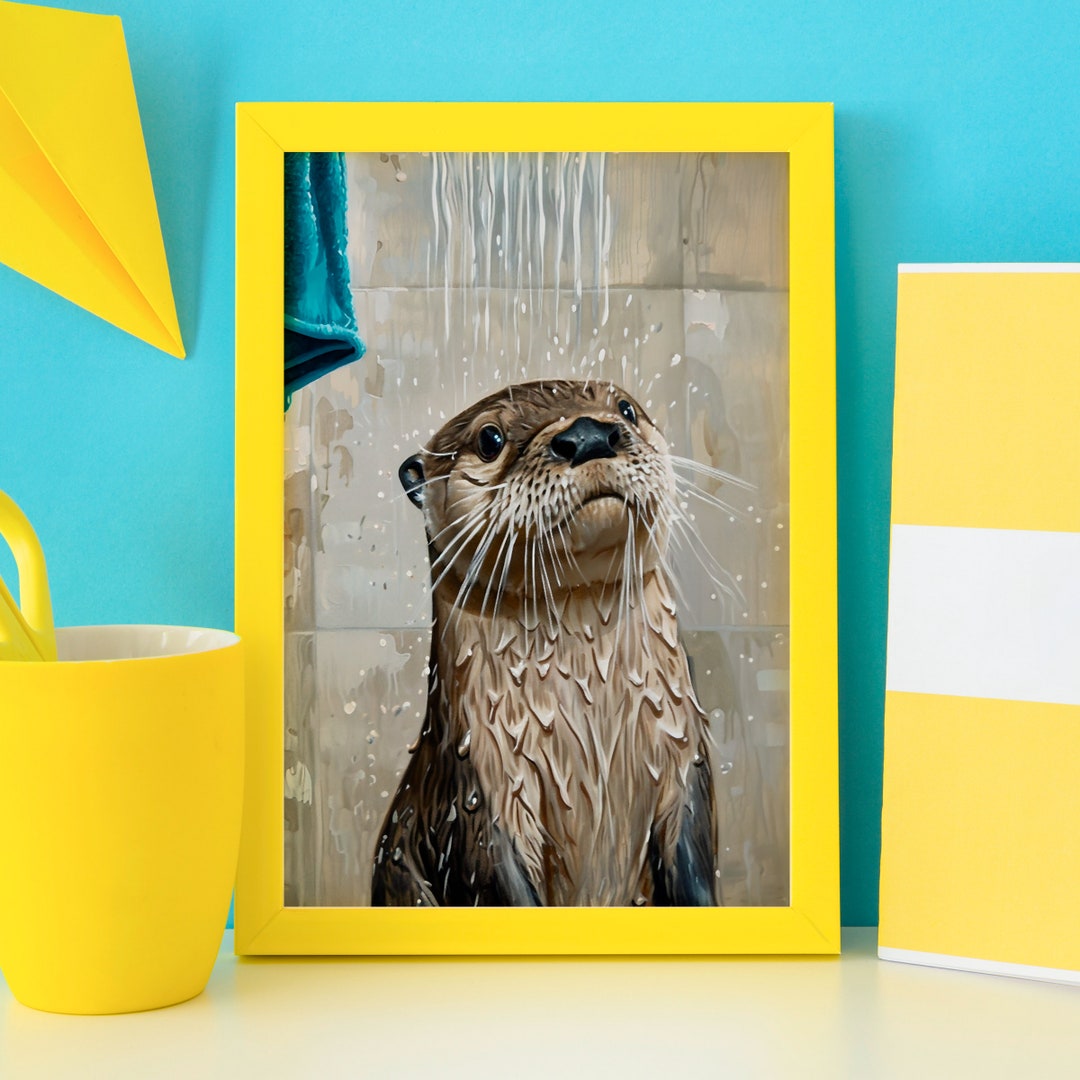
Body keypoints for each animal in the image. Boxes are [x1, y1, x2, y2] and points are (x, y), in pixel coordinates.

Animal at [371, 380, 717, 907]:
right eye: (489, 438)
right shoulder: (480, 786)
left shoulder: (683, 752)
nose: (589, 435)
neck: (589, 719)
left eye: (626, 408)